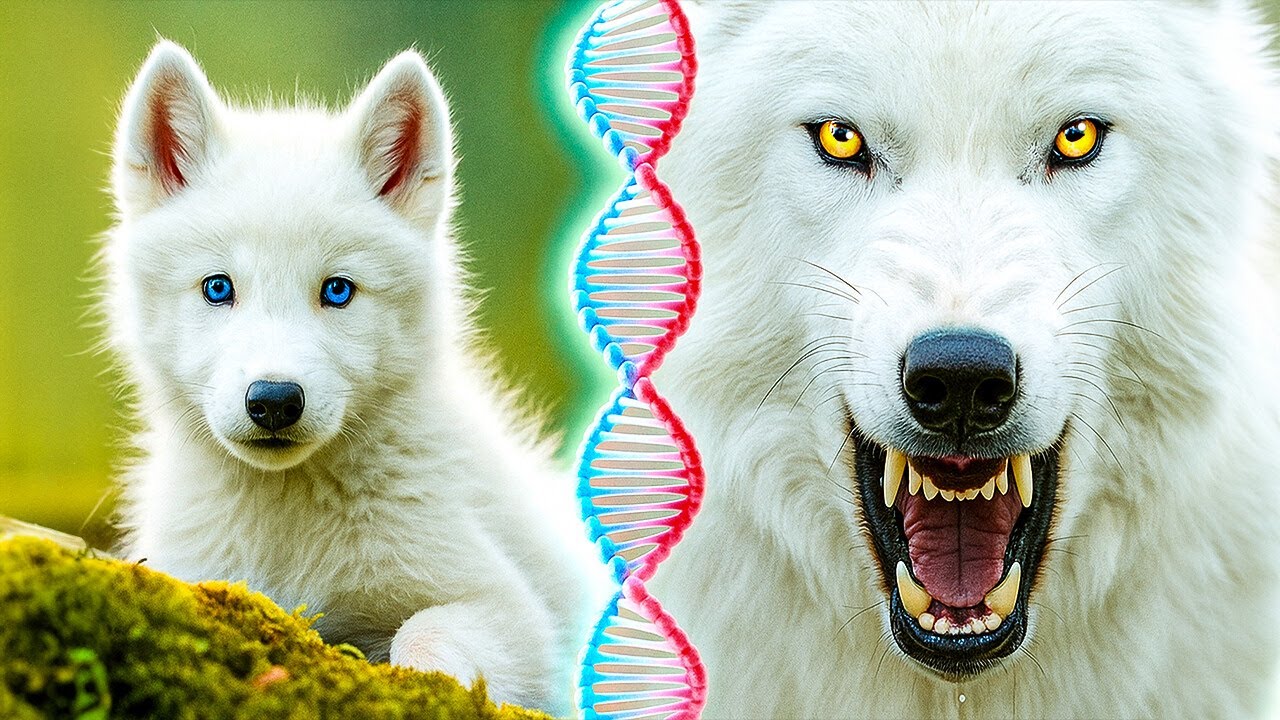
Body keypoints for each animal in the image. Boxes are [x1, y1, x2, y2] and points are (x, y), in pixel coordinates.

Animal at [103, 41, 603, 713]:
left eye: (337, 290)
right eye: (218, 288)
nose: (274, 401)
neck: (288, 525)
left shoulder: (513, 612)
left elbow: (423, 634)